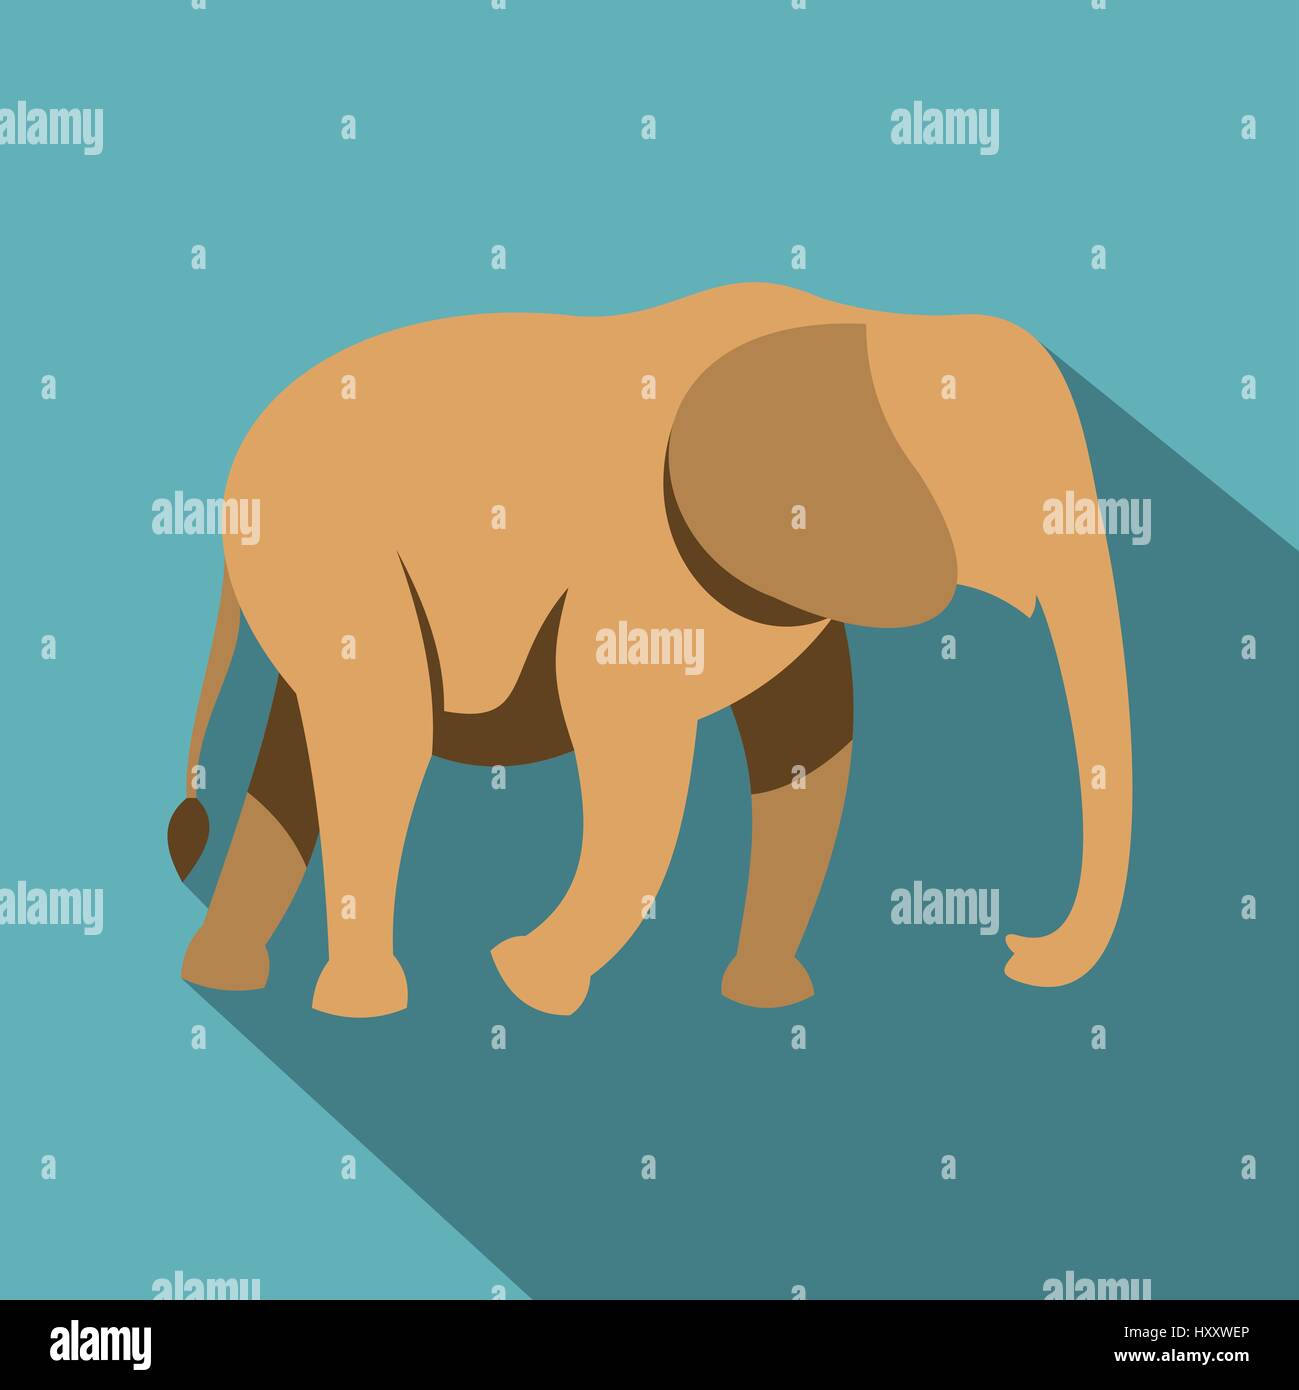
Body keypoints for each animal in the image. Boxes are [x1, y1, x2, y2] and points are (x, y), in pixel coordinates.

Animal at [167, 281, 1132, 1018]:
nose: (1013, 949)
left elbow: (805, 751)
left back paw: (225, 977)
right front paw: (523, 981)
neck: (871, 322)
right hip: (328, 554)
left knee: (296, 760)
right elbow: (639, 762)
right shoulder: (653, 576)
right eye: (1007, 472)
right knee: (379, 744)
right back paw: (362, 1007)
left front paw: (767, 1000)